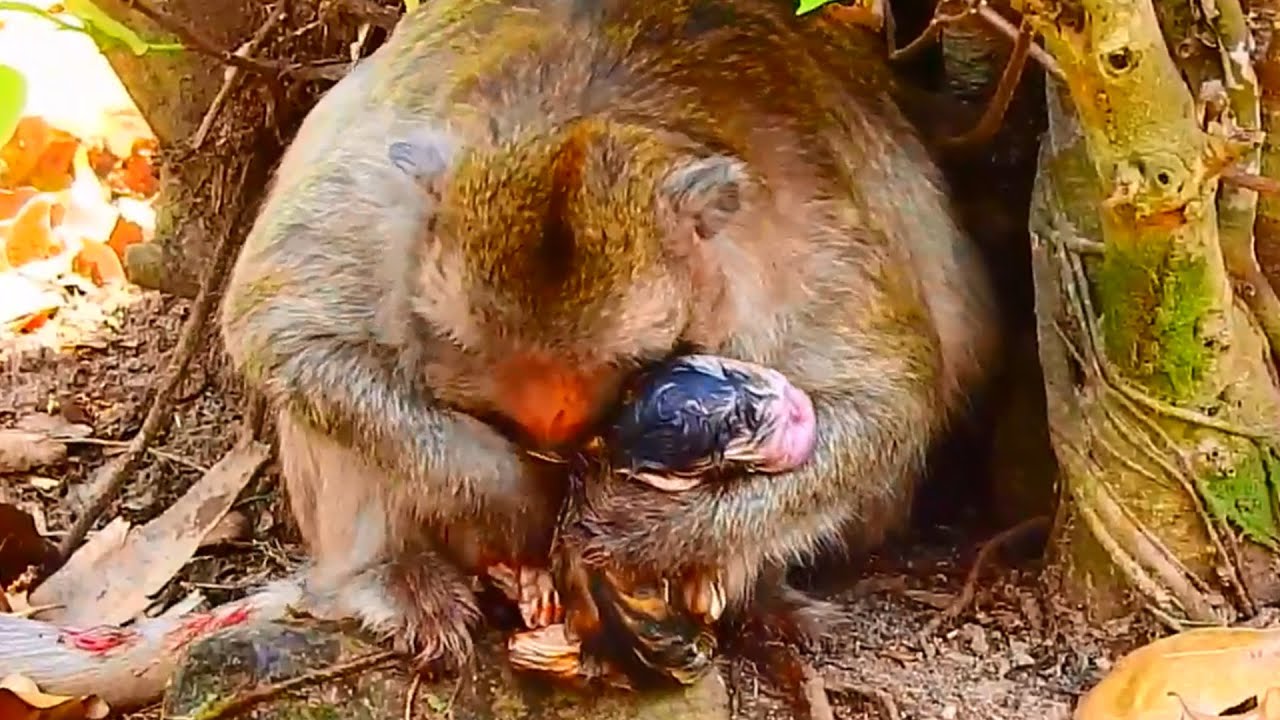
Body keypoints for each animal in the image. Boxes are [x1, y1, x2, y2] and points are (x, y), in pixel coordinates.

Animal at [219, 0, 999, 674]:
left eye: (636, 361)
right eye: (464, 345)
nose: (550, 426)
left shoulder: (800, 245)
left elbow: (889, 400)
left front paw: (646, 529)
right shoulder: (374, 200)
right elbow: (283, 329)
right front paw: (515, 493)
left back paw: (752, 600)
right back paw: (394, 577)